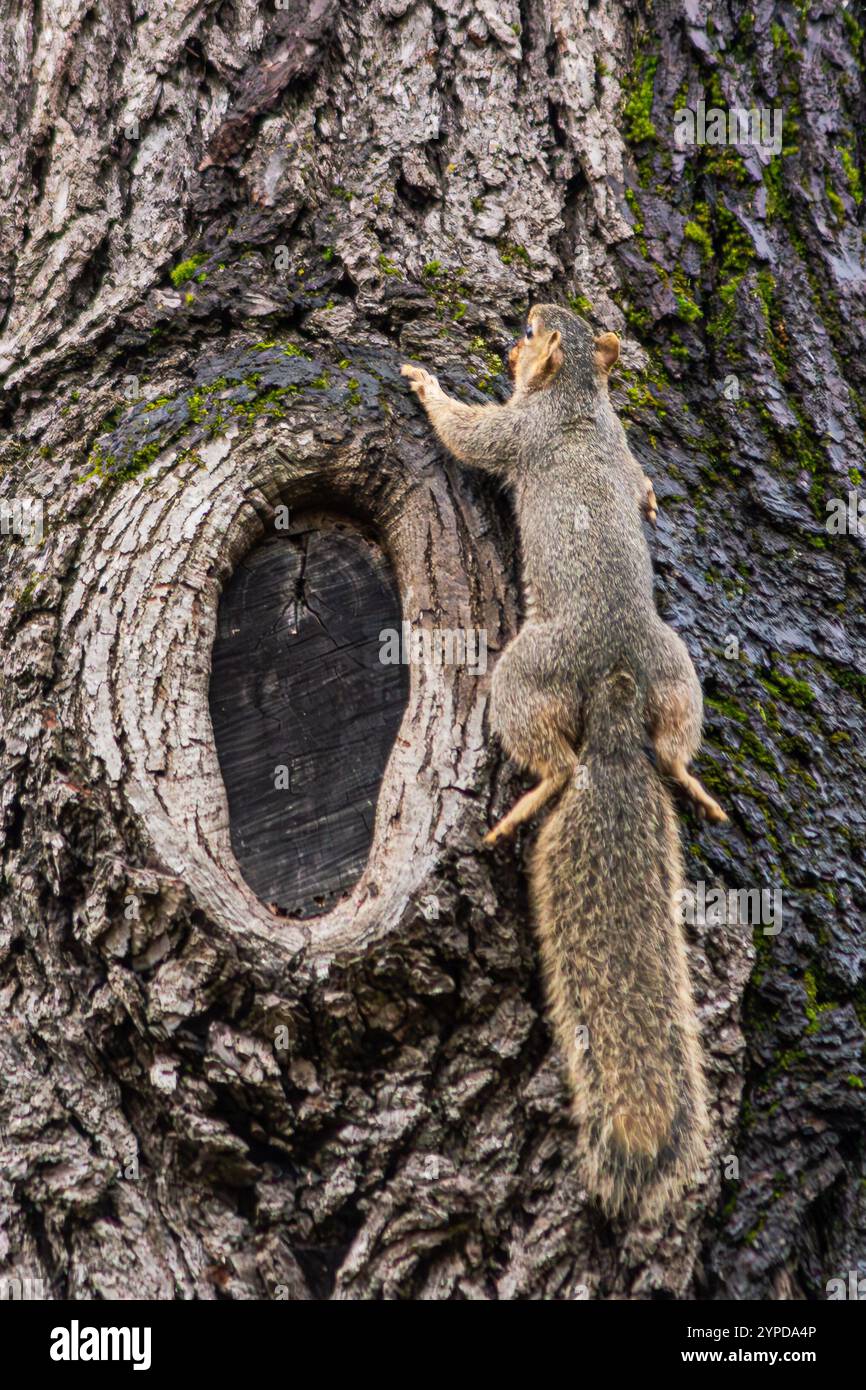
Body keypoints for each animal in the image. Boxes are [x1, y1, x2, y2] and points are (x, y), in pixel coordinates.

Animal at [401, 304, 727, 1223]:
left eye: (524, 335)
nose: (526, 324)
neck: (581, 394)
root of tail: (614, 683)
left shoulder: (520, 431)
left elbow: (470, 433)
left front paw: (425, 384)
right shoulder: (614, 436)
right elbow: (640, 471)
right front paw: (648, 497)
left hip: (524, 673)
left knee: (548, 760)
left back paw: (527, 799)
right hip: (676, 675)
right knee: (674, 747)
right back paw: (691, 783)